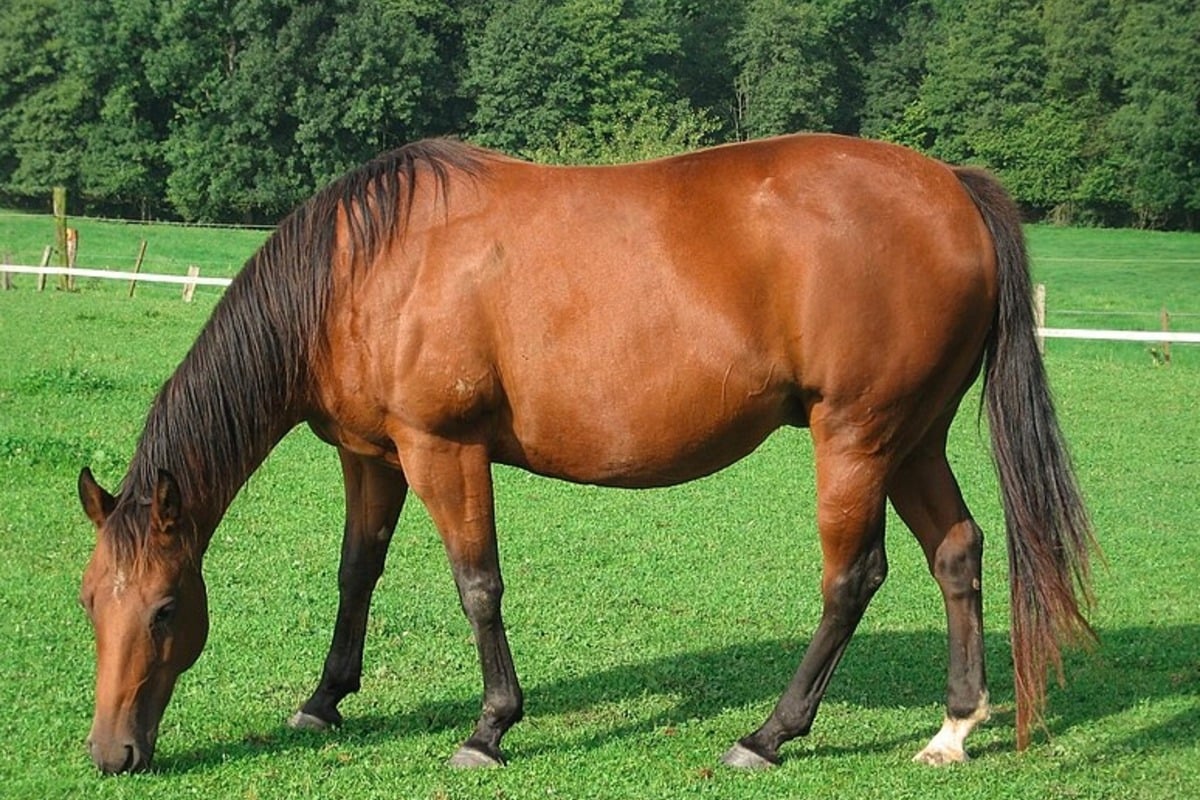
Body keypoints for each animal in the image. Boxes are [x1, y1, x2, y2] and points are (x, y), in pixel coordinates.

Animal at [76, 133, 1095, 774]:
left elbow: (477, 585)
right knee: (957, 552)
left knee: (854, 578)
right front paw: (325, 701)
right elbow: (356, 571)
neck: (366, 267)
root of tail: (951, 186)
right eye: (92, 602)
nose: (111, 754)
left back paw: (768, 735)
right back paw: (954, 727)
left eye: (165, 610)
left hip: (856, 437)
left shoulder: (442, 450)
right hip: (912, 437)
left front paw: (490, 728)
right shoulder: (372, 456)